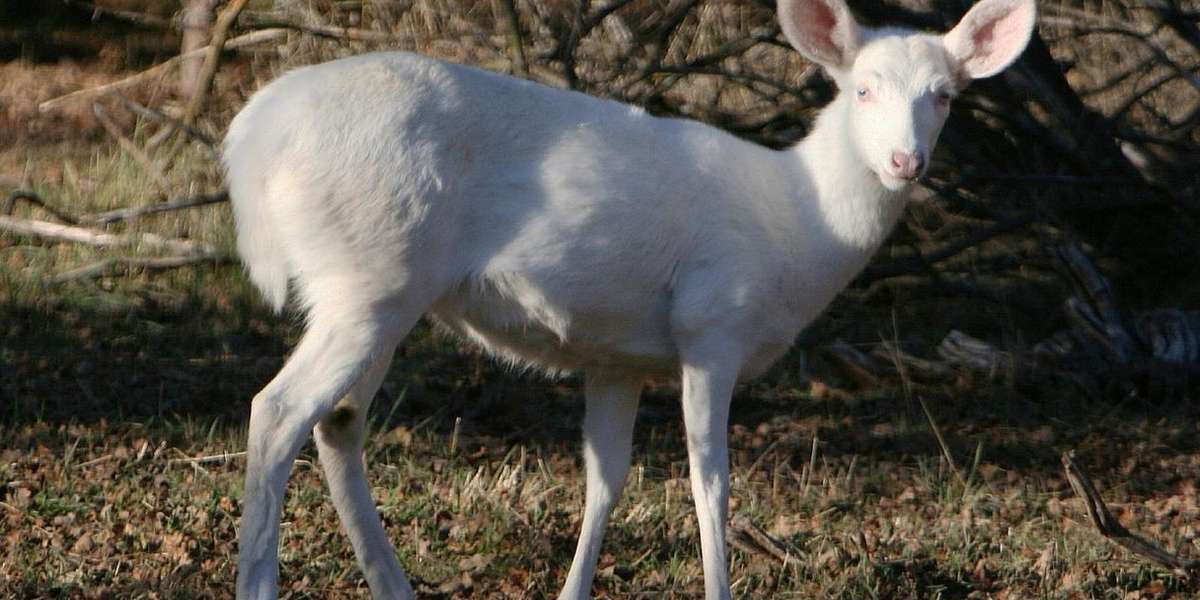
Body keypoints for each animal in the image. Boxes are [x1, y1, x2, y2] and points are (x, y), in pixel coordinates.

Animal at [222, 0, 1036, 597]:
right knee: (278, 408)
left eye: (945, 96)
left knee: (339, 421)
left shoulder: (617, 356)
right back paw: (261, 582)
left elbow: (604, 482)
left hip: (374, 284)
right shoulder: (713, 323)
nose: (905, 161)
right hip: (369, 271)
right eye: (861, 89)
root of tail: (251, 139)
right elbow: (711, 481)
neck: (799, 224)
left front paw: (572, 592)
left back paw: (394, 586)